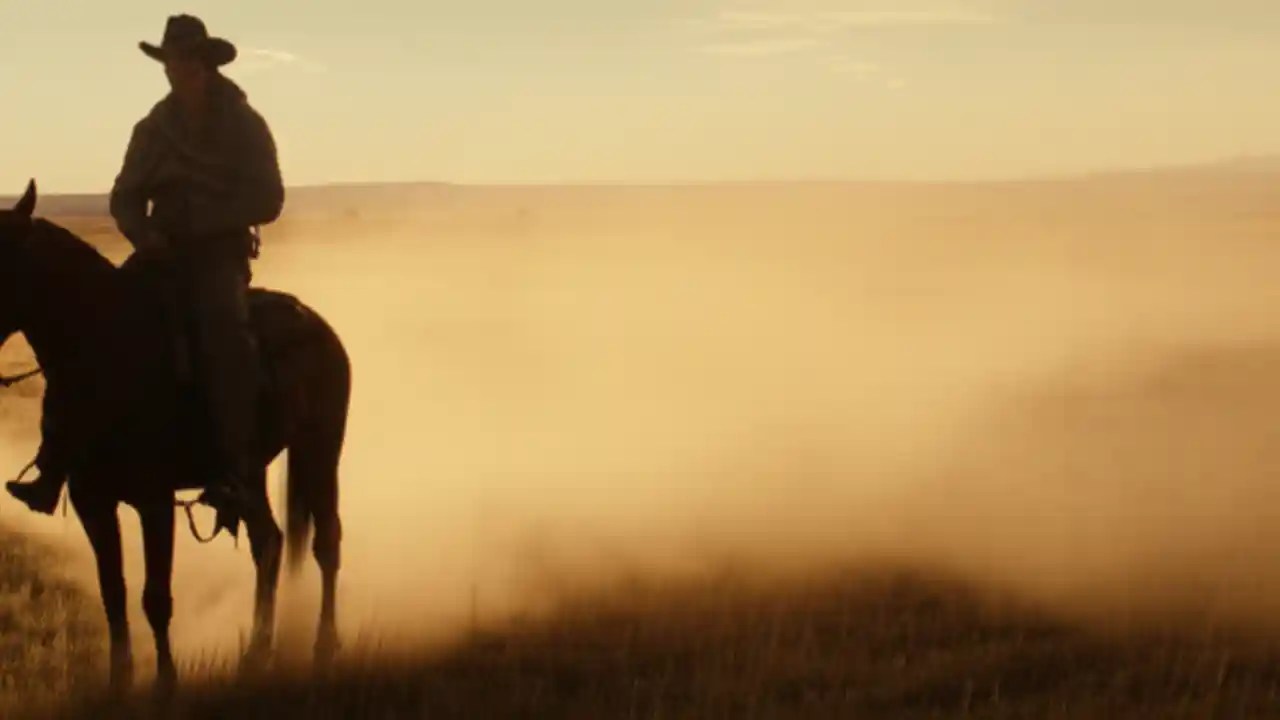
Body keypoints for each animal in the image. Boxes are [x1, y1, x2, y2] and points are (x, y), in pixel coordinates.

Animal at [0, 180, 350, 693]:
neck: (107, 353)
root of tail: (318, 324)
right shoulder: (91, 500)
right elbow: (113, 592)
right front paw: (119, 684)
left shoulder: (154, 500)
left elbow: (155, 596)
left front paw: (166, 683)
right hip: (251, 472)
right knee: (267, 543)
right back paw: (255, 653)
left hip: (320, 450)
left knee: (326, 544)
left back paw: (323, 647)